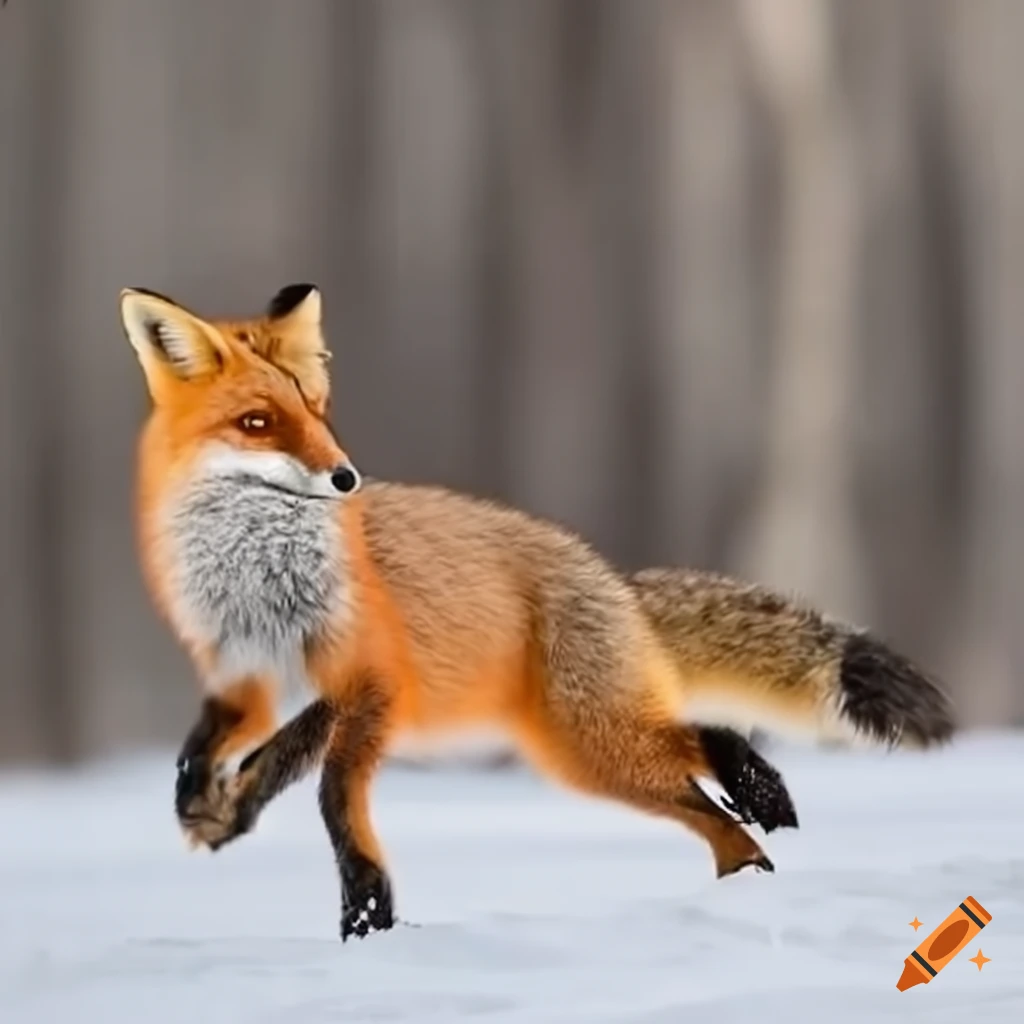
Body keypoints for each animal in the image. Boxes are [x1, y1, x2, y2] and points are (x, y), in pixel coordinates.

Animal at [119, 283, 955, 941]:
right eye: (258, 422)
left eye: (317, 411)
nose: (344, 476)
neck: (261, 581)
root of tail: (607, 574)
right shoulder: (246, 672)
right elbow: (228, 754)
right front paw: (211, 808)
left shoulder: (367, 683)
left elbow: (326, 790)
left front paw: (366, 910)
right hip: (578, 753)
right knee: (717, 805)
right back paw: (745, 866)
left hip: (593, 744)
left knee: (707, 761)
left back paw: (757, 805)